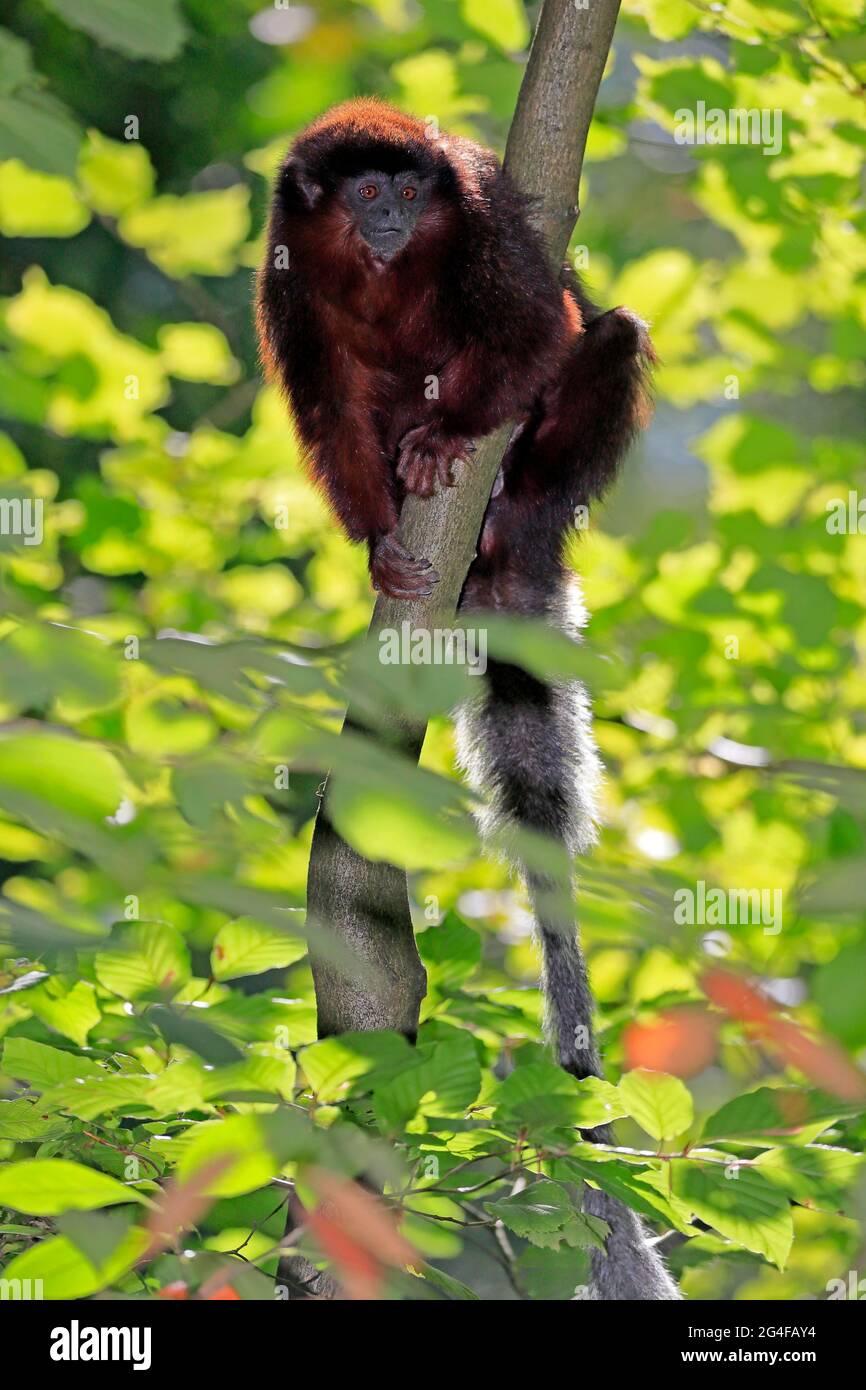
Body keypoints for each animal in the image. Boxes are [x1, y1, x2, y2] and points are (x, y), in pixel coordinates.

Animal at [257, 98, 680, 1300]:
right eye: (365, 194)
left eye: (410, 190)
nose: (393, 217)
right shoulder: (284, 264)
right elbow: (324, 402)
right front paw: (376, 539)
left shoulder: (487, 215)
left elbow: (537, 326)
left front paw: (450, 436)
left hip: (552, 483)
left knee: (607, 333)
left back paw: (505, 491)